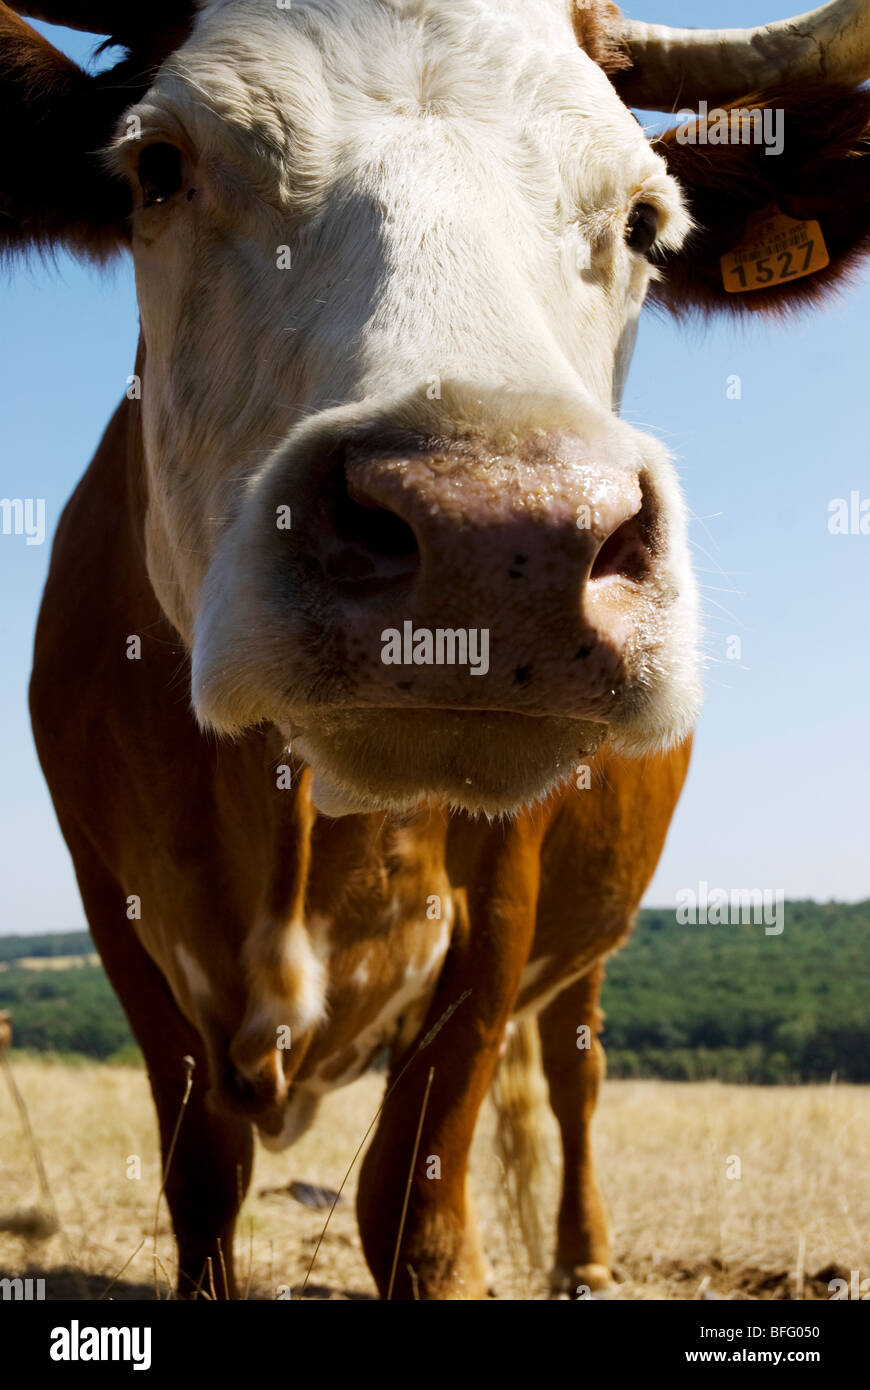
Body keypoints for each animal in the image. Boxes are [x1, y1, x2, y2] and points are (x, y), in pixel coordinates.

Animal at [5, 0, 869, 1299]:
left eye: (644, 221)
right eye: (159, 166)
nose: (498, 533)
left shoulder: (499, 909)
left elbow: (416, 1210)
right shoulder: (115, 906)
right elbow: (202, 1175)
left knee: (574, 1069)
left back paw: (584, 1257)